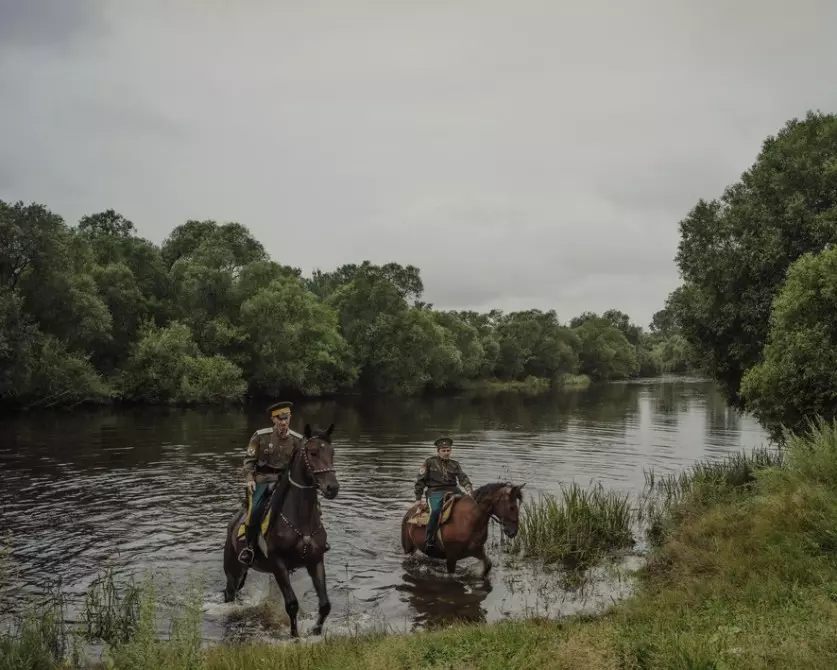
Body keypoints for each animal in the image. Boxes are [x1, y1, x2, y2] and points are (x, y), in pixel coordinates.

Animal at [225, 426, 340, 640]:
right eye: (313, 452)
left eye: (332, 452)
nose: (332, 488)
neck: (301, 520)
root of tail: (234, 521)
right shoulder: (278, 564)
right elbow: (292, 604)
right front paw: (294, 637)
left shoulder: (316, 561)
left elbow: (325, 604)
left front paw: (316, 631)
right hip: (233, 570)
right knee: (229, 594)